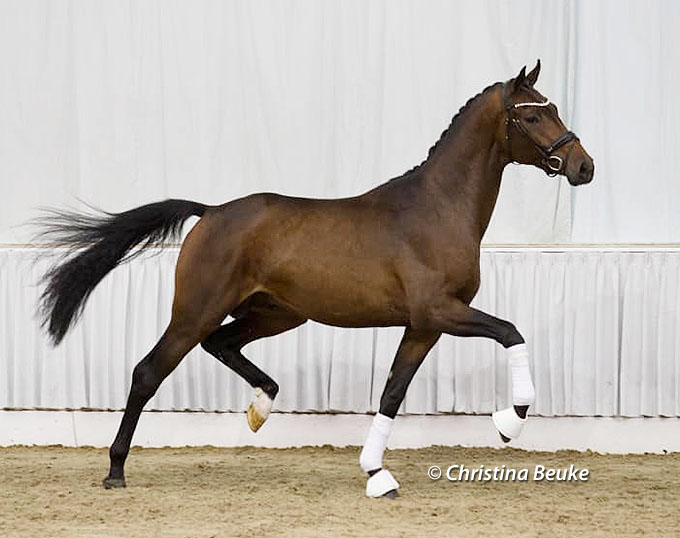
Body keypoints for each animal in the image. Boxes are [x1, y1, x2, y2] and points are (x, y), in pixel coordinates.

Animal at [35, 60, 593, 498]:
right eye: (532, 114)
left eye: (553, 109)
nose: (583, 166)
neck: (437, 208)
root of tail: (211, 212)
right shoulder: (440, 311)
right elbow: (511, 332)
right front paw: (509, 421)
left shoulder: (423, 326)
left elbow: (392, 393)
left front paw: (377, 475)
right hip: (196, 311)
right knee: (147, 372)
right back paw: (115, 470)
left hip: (276, 313)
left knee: (222, 344)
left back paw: (261, 408)